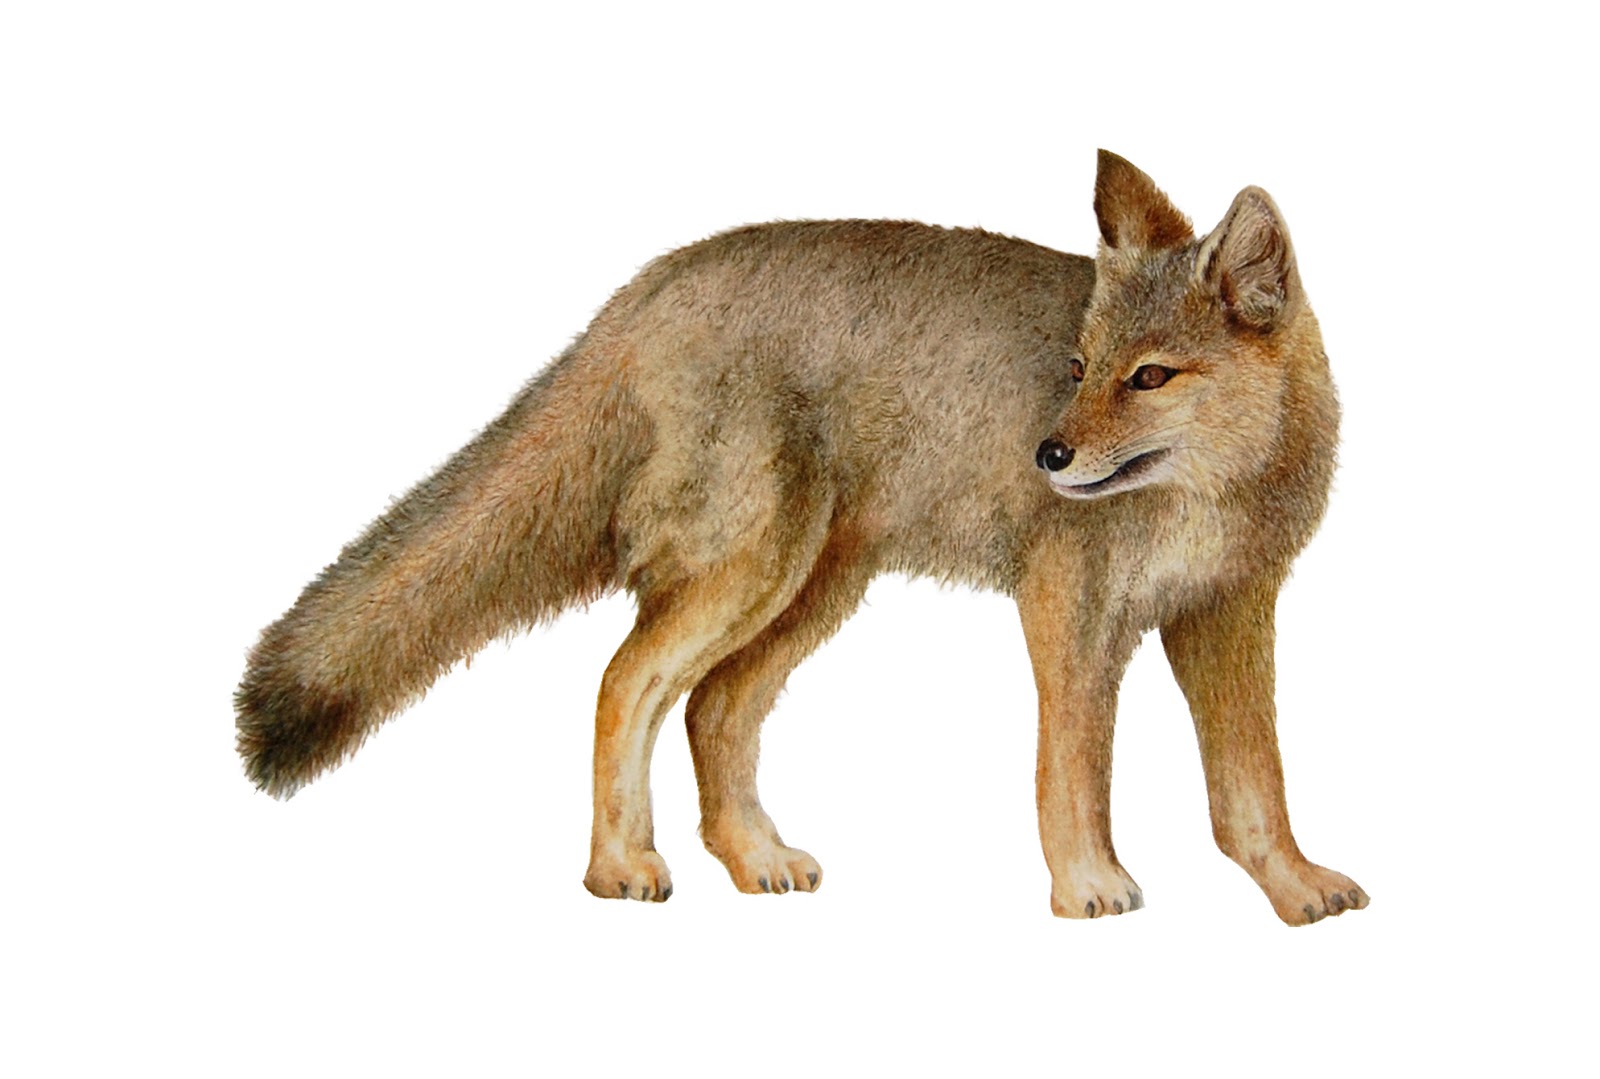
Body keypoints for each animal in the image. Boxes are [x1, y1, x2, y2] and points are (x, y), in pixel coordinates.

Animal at [237, 150, 1367, 925]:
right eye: (1082, 366)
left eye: (1148, 377)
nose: (1046, 454)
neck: (1219, 490)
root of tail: (646, 287)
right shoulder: (1068, 611)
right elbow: (1073, 769)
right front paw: (1088, 882)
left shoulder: (1227, 616)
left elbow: (1252, 783)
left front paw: (1290, 885)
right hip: (756, 574)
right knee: (624, 681)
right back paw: (619, 867)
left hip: (810, 593)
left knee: (711, 709)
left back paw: (751, 857)